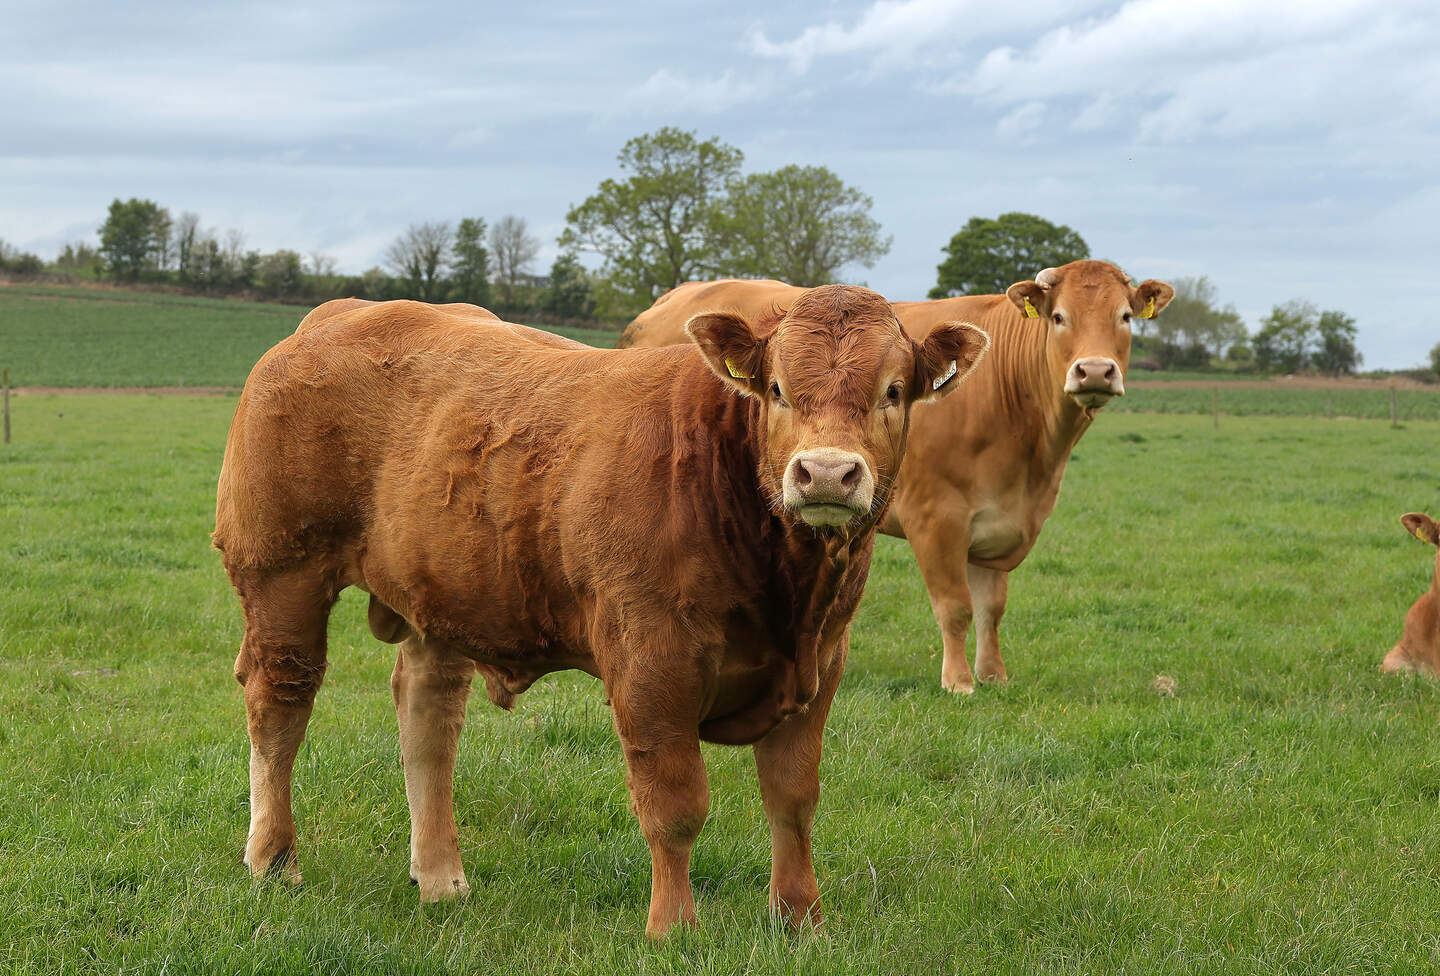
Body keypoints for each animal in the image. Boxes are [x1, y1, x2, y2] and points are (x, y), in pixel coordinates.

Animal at [213, 289, 989, 937]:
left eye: (894, 391)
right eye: (777, 389)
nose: (826, 472)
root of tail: (338, 314)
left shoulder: (821, 662)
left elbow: (793, 800)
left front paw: (801, 920)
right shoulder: (652, 661)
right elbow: (674, 806)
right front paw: (674, 929)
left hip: (442, 592)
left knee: (427, 721)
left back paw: (440, 878)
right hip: (281, 571)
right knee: (279, 706)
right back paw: (274, 861)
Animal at [619, 261, 1174, 693]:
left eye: (1125, 317)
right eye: (1059, 317)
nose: (1095, 371)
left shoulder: (1003, 523)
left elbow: (992, 607)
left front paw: (993, 675)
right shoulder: (938, 518)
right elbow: (956, 606)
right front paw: (959, 682)